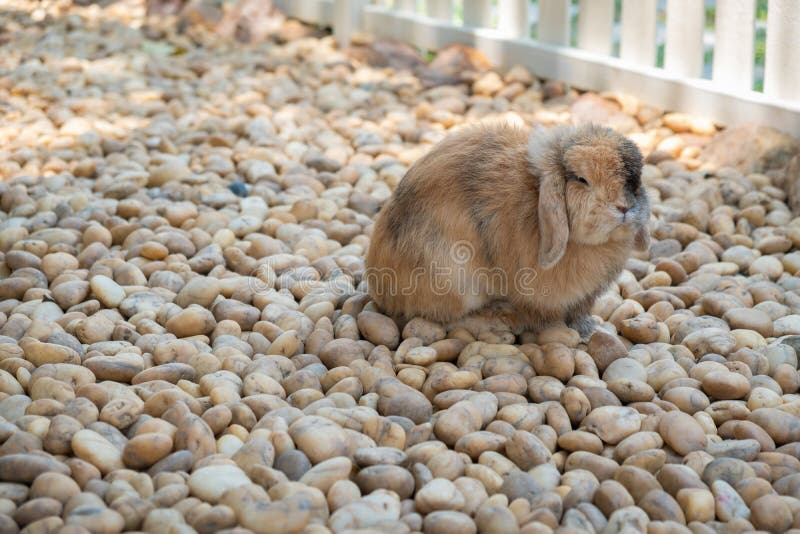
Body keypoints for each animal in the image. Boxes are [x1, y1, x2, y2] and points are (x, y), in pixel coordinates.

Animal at [364, 122, 651, 338]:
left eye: (634, 181)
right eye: (582, 179)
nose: (624, 208)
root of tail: (380, 290)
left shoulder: (585, 298)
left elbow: (580, 313)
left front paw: (589, 330)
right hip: (454, 280)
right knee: (447, 319)